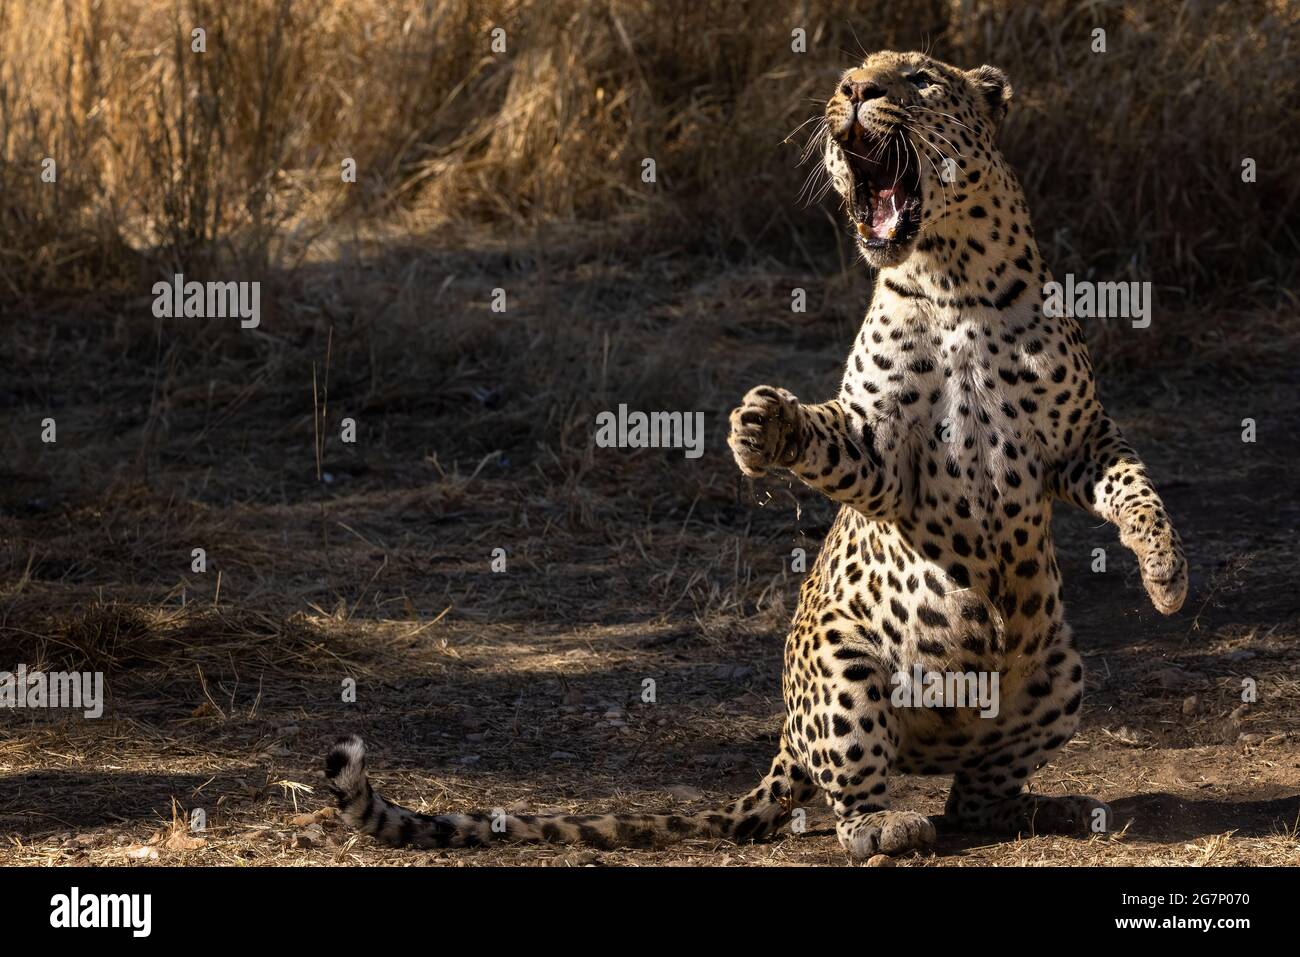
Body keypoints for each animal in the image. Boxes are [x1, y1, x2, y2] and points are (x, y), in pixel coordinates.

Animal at [323, 50, 1188, 862]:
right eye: (850, 75)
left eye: (916, 77)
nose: (853, 92)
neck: (952, 279)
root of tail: (787, 738)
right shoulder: (883, 450)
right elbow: (836, 442)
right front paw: (763, 426)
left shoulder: (1078, 438)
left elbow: (1135, 487)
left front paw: (1164, 573)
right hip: (843, 662)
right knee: (864, 789)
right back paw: (884, 824)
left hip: (1059, 674)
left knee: (977, 796)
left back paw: (1054, 807)